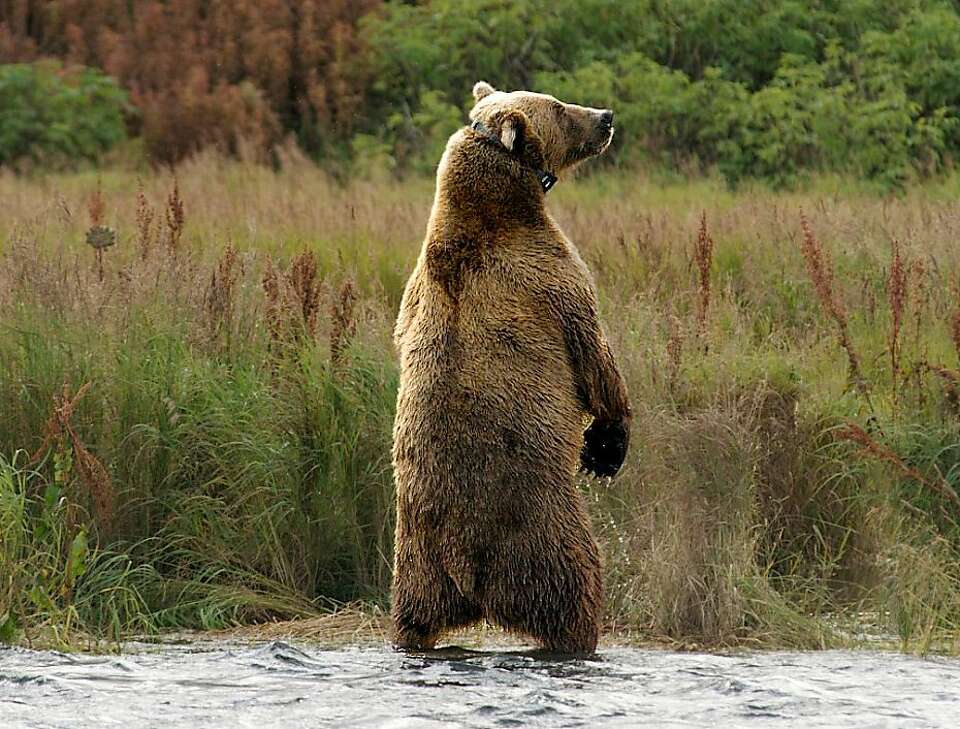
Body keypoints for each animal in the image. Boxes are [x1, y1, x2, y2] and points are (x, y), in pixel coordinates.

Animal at [390, 81, 631, 654]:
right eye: (562, 108)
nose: (606, 117)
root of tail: (463, 564)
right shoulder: (550, 275)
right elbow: (594, 356)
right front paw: (607, 444)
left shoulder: (412, 295)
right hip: (543, 536)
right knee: (574, 592)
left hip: (414, 558)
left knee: (412, 613)